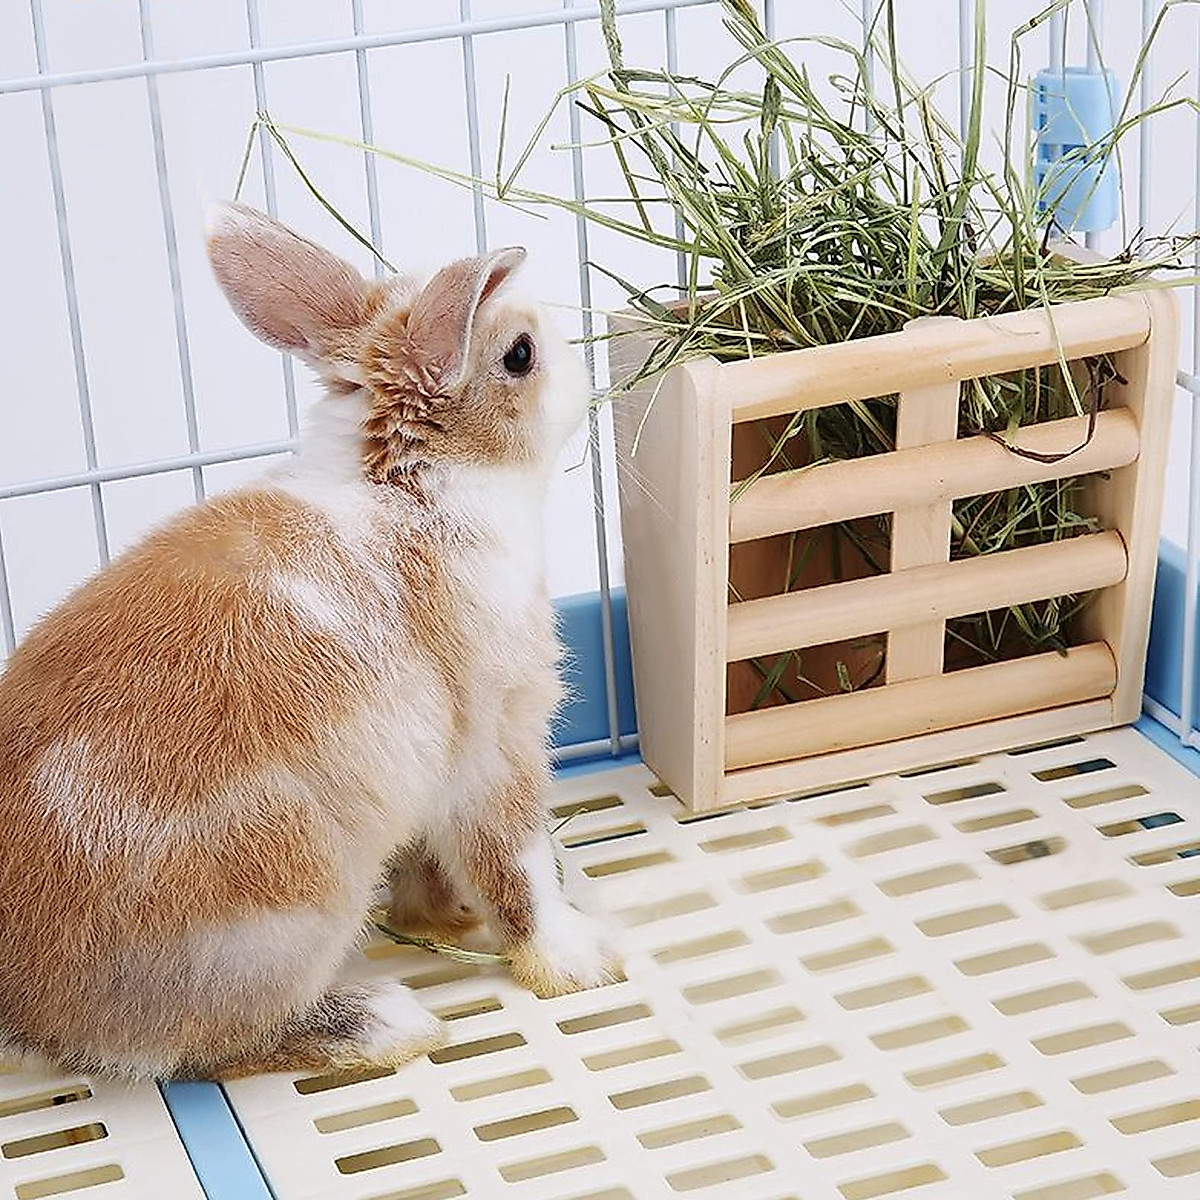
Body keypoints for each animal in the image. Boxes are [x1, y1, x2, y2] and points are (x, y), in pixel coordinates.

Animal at [0, 202, 617, 1080]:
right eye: (520, 354)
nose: (580, 362)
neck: (412, 488)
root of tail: (27, 1006)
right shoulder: (493, 743)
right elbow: (518, 866)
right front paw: (579, 959)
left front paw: (438, 920)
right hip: (283, 914)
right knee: (209, 1043)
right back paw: (387, 1025)